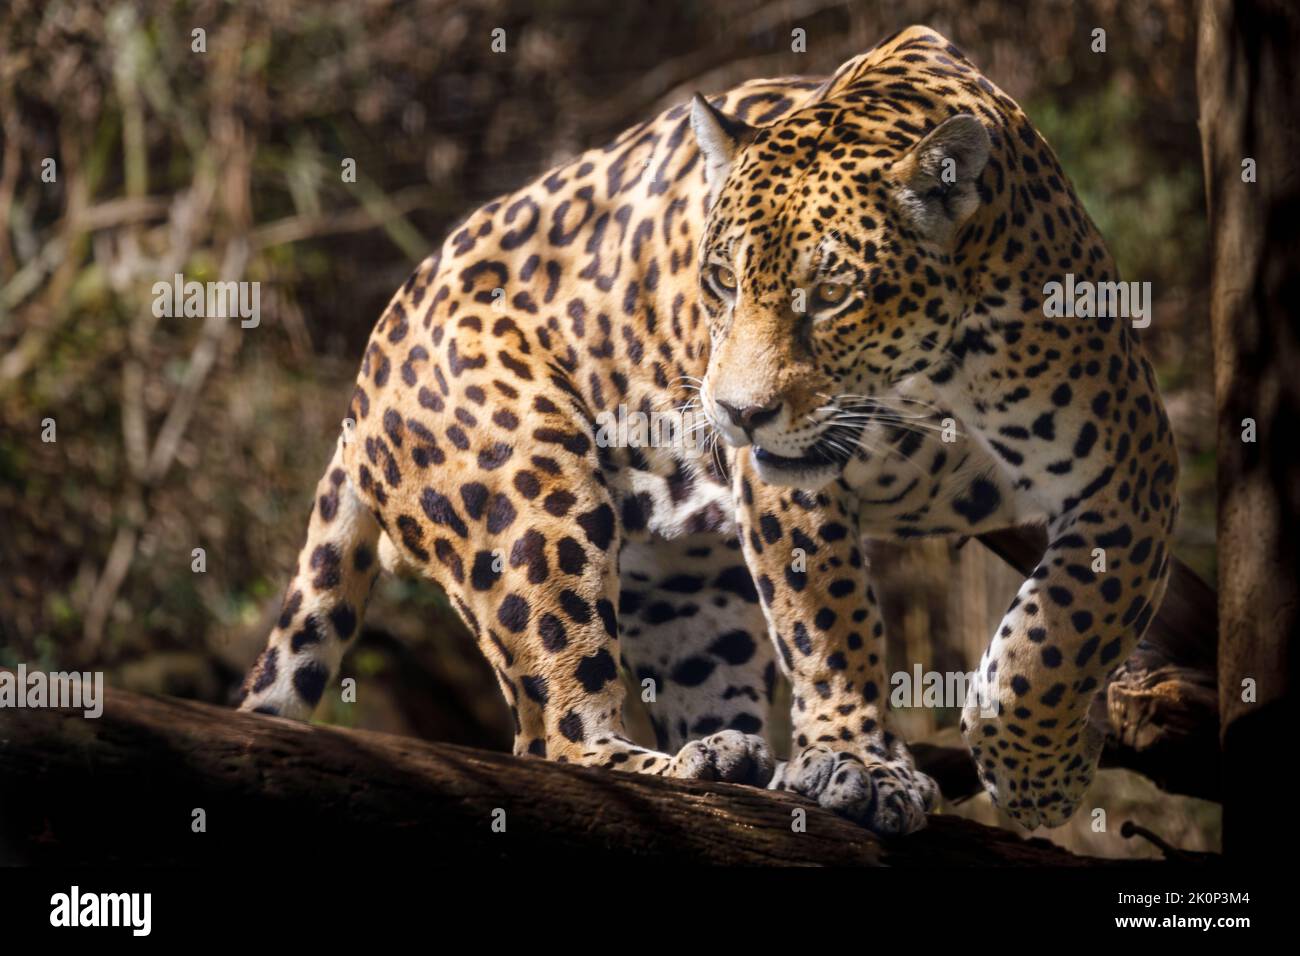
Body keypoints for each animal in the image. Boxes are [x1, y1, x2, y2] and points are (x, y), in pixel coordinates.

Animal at [237, 25, 1178, 836]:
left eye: (830, 293)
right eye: (722, 281)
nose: (736, 413)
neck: (925, 380)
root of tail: (369, 370)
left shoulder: (1131, 464)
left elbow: (1069, 624)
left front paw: (1034, 767)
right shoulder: (787, 484)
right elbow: (828, 620)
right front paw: (861, 763)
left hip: (690, 578)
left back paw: (728, 757)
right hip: (529, 494)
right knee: (553, 734)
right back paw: (669, 764)